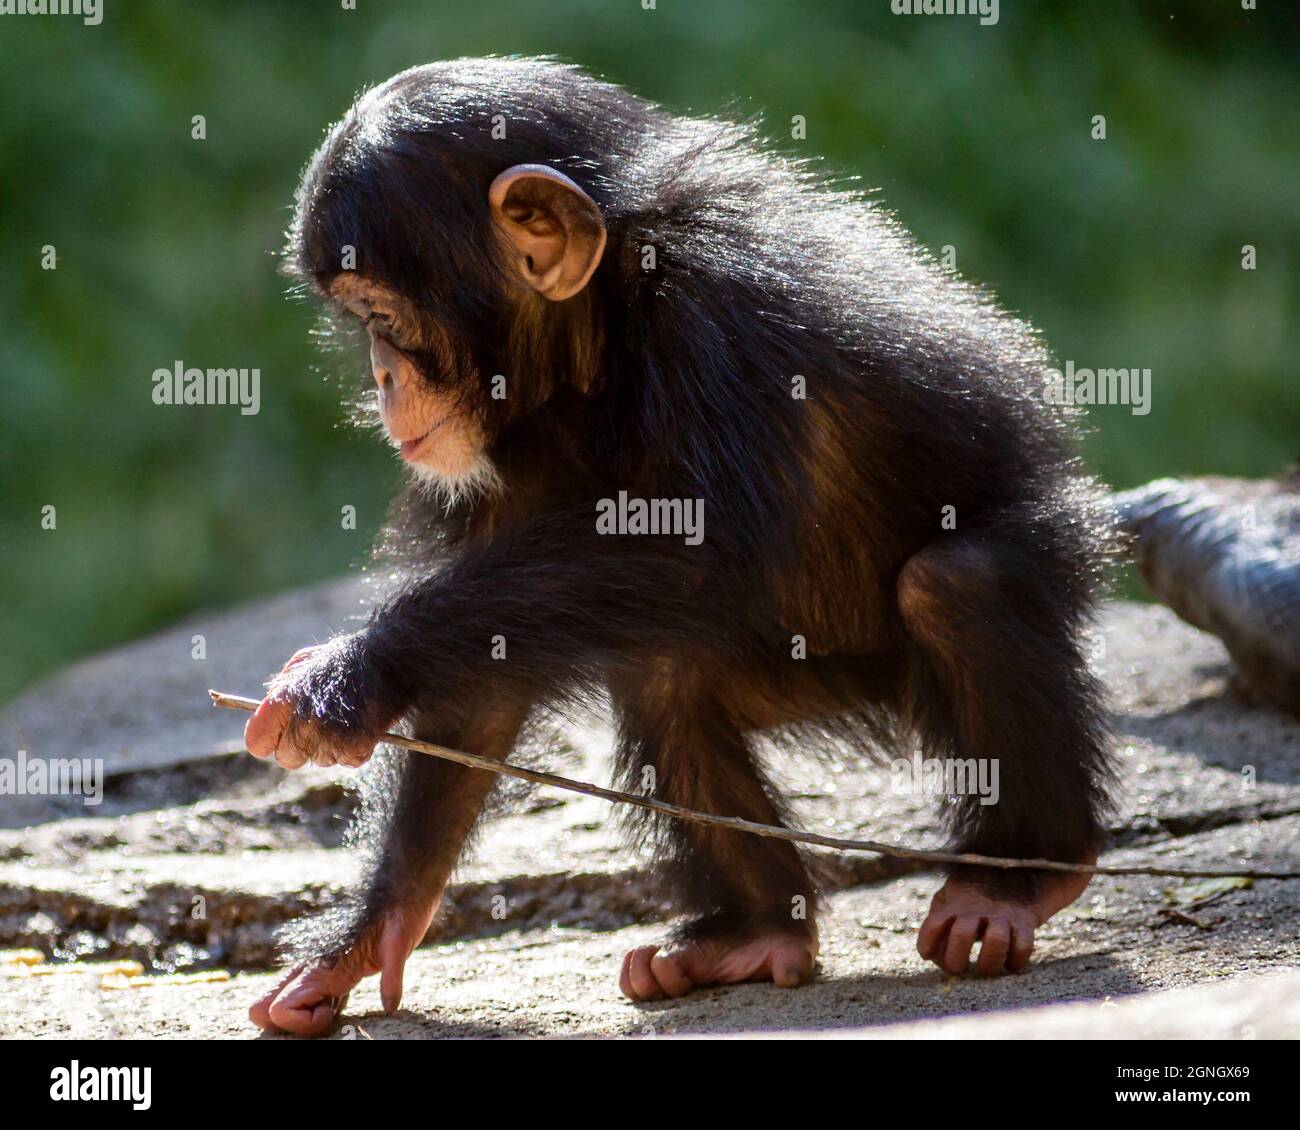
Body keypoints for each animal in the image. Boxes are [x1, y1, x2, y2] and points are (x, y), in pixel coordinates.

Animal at [243, 58, 1114, 1036]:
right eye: (358, 321)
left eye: (382, 314)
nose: (384, 377)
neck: (602, 323)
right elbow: (485, 681)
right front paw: (369, 933)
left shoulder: (719, 313)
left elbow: (702, 548)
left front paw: (348, 673)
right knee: (662, 674)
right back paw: (758, 931)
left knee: (961, 585)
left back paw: (1016, 880)